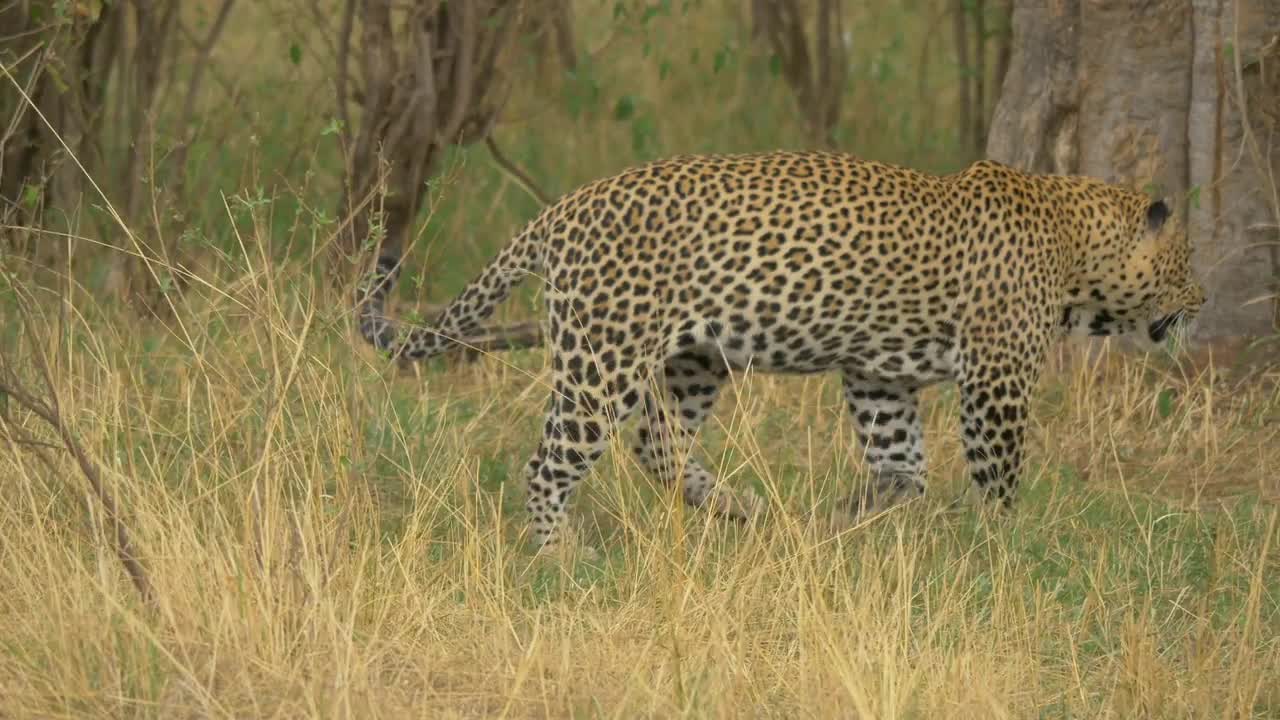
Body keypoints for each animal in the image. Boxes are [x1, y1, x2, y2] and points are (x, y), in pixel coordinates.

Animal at [356, 151, 1206, 549]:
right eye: (1186, 263)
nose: (1203, 302)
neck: (1076, 252)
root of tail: (561, 209)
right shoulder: (996, 376)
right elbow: (995, 473)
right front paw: (1003, 544)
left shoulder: (877, 377)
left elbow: (902, 469)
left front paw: (844, 523)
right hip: (604, 357)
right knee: (549, 461)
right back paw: (558, 554)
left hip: (696, 359)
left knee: (658, 445)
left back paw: (746, 509)